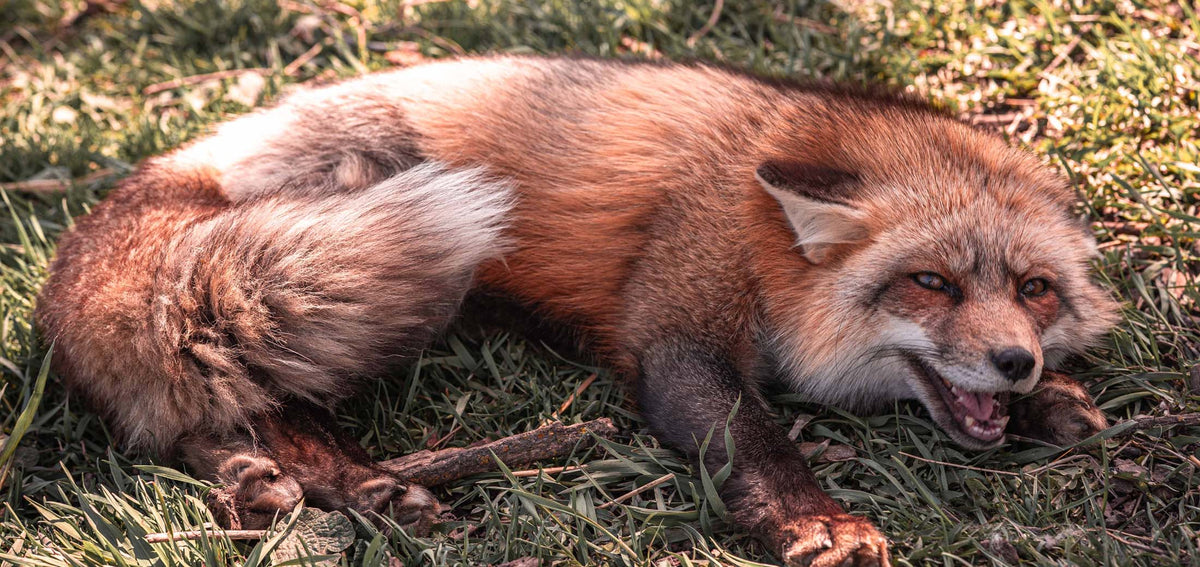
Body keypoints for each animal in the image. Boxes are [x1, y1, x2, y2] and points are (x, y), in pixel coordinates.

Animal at [35, 55, 1120, 566]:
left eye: (1034, 291)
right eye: (930, 283)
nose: (1016, 363)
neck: (763, 228)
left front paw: (1055, 399)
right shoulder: (680, 320)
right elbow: (756, 441)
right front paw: (818, 523)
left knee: (191, 411)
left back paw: (265, 486)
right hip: (376, 221)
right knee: (241, 400)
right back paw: (347, 484)